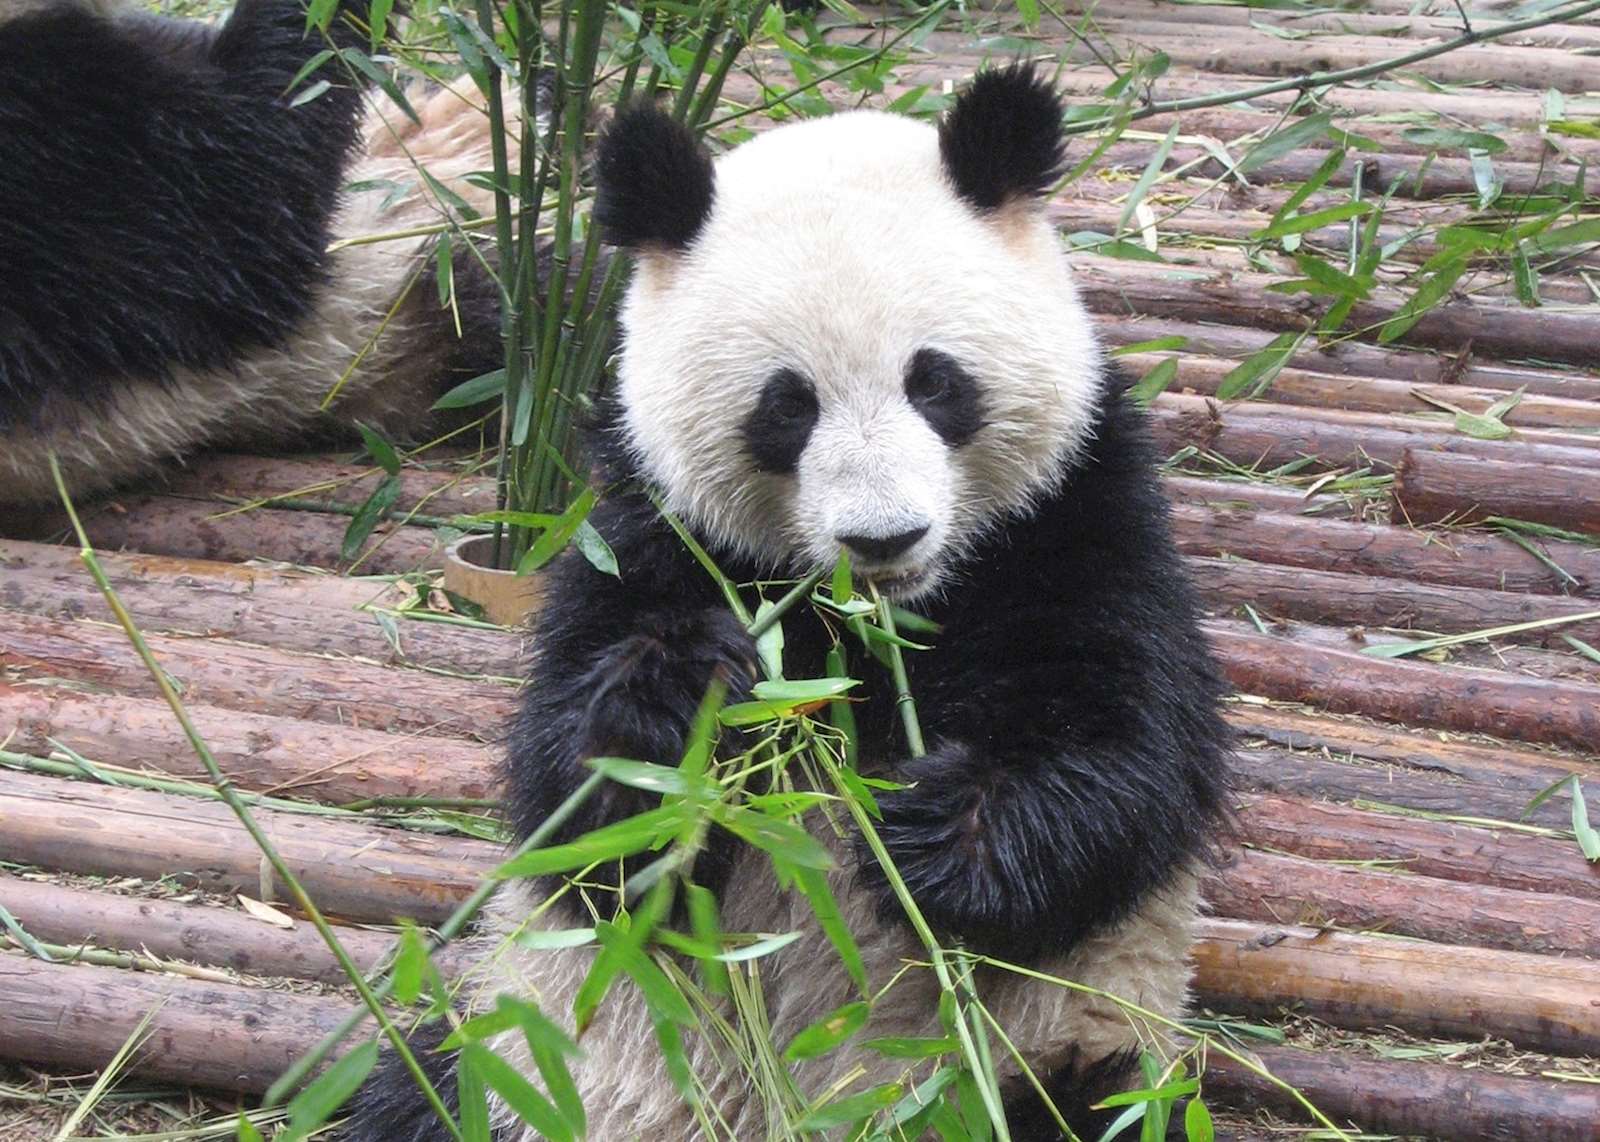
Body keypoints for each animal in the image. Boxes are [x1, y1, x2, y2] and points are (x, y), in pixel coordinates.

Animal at [346, 66, 1232, 1141]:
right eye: (787, 405)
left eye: (936, 382)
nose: (883, 539)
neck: (874, 626)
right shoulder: (647, 524)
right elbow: (582, 809)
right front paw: (686, 697)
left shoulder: (1075, 512)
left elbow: (1125, 737)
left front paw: (937, 842)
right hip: (535, 1056)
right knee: (423, 1087)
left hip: (1064, 1061)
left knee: (1083, 1104)